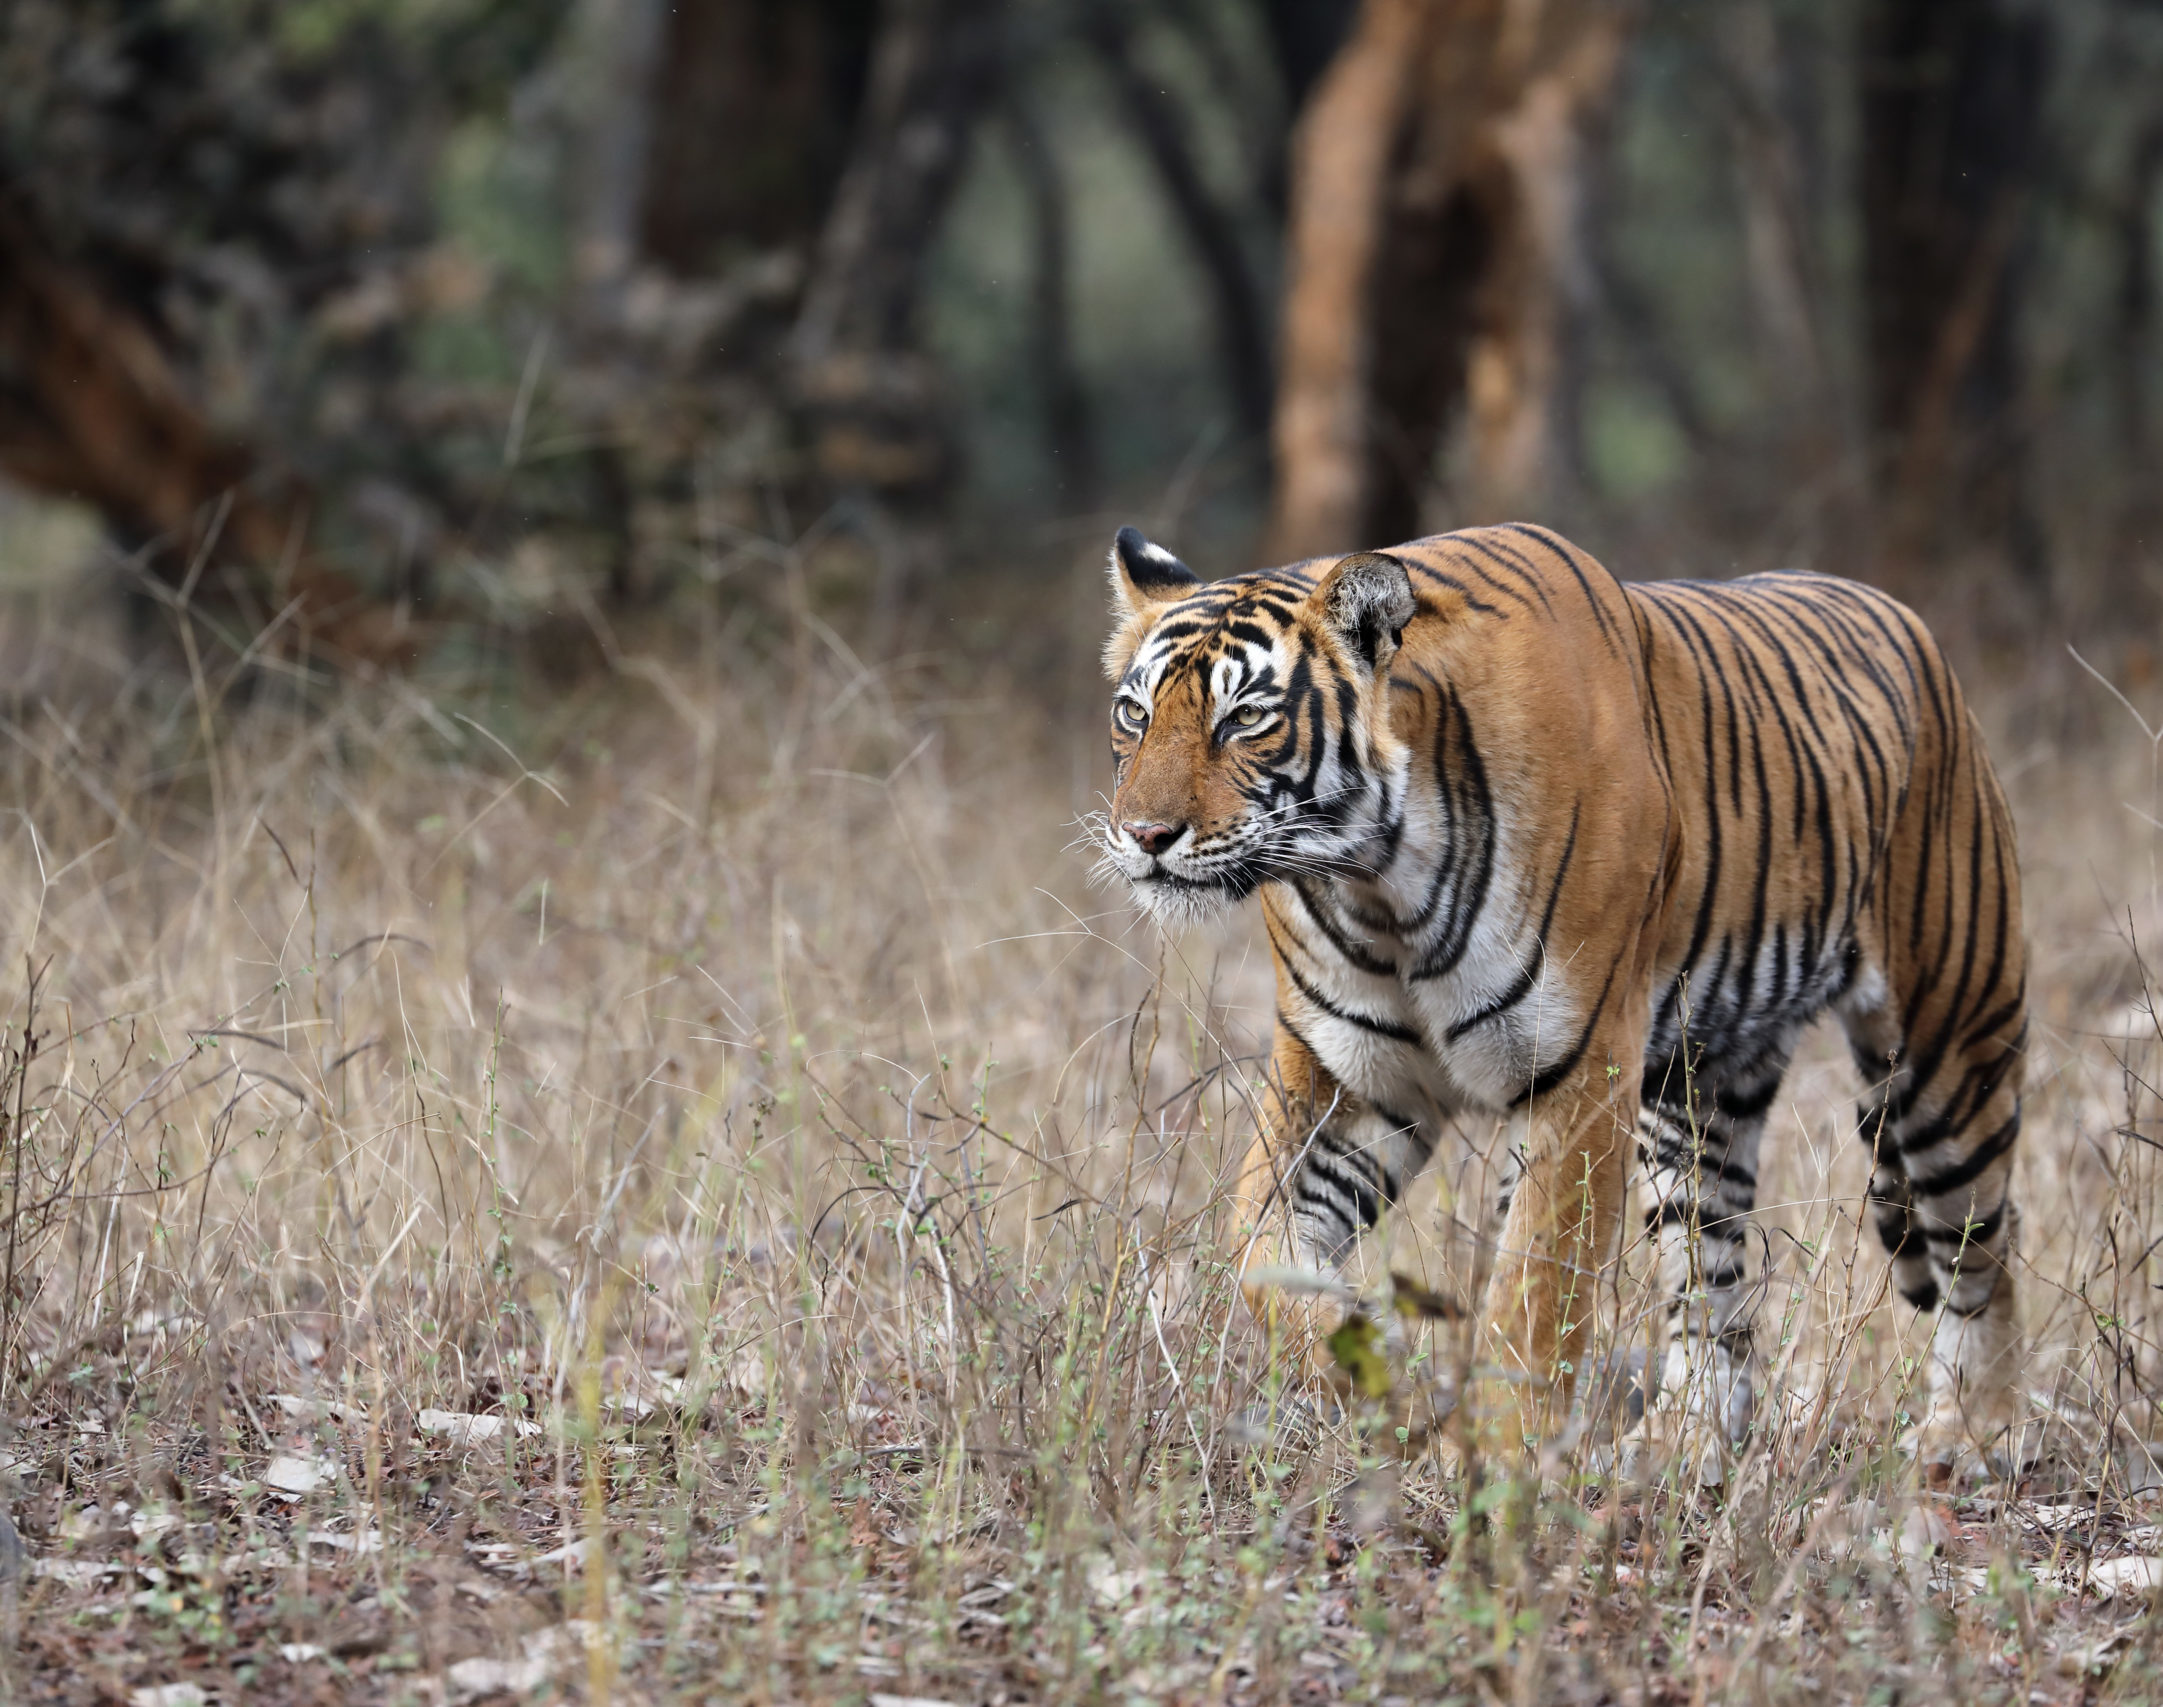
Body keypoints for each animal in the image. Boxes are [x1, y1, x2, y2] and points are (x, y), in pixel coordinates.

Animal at [1098, 522, 2026, 1478]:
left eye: (1244, 717)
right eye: (1134, 714)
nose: (1143, 835)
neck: (1375, 879)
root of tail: (1904, 619)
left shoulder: (1580, 1070)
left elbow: (1535, 1288)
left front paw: (1504, 1462)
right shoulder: (1349, 1079)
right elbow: (1256, 1251)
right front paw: (1383, 1364)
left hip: (1947, 1049)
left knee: (1982, 1249)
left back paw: (1970, 1432)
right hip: (1695, 1096)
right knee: (1707, 1273)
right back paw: (1680, 1442)